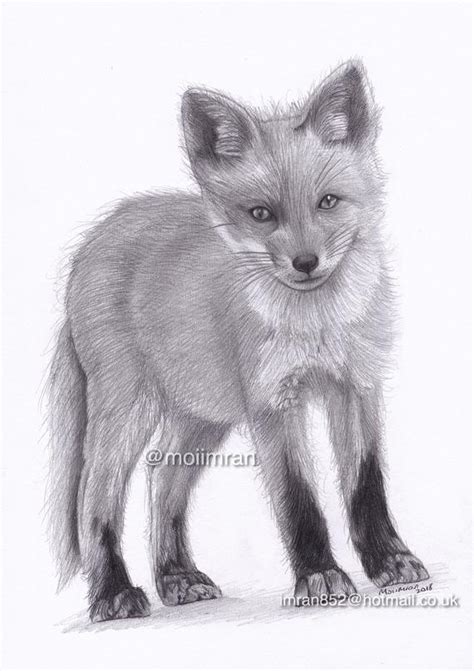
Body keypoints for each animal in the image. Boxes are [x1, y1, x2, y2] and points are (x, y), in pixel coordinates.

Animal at [47, 60, 429, 622]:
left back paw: (176, 577)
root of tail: (96, 237)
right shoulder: (273, 403)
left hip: (201, 416)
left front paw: (390, 562)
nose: (306, 263)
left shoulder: (356, 387)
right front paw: (320, 575)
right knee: (95, 496)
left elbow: (366, 486)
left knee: (162, 479)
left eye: (328, 202)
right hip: (128, 409)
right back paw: (113, 593)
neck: (315, 325)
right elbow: (298, 497)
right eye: (262, 214)